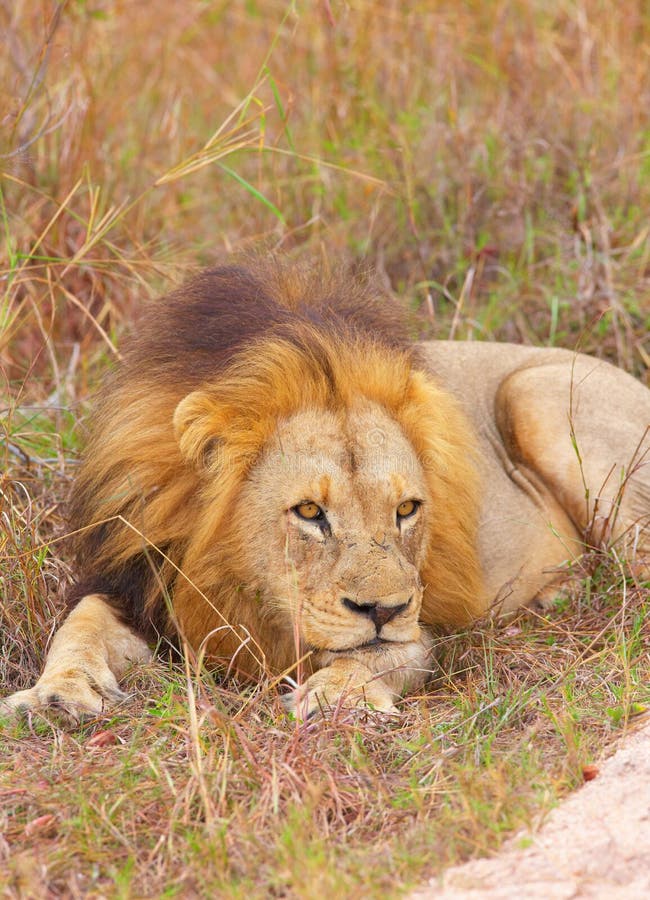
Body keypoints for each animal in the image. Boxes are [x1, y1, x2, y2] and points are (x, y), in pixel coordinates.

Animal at [3, 261, 649, 720]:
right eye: (310, 511)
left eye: (407, 509)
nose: (383, 610)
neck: (239, 584)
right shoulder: (143, 582)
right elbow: (80, 623)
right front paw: (57, 694)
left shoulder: (425, 621)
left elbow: (381, 652)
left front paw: (337, 696)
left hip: (538, 396)